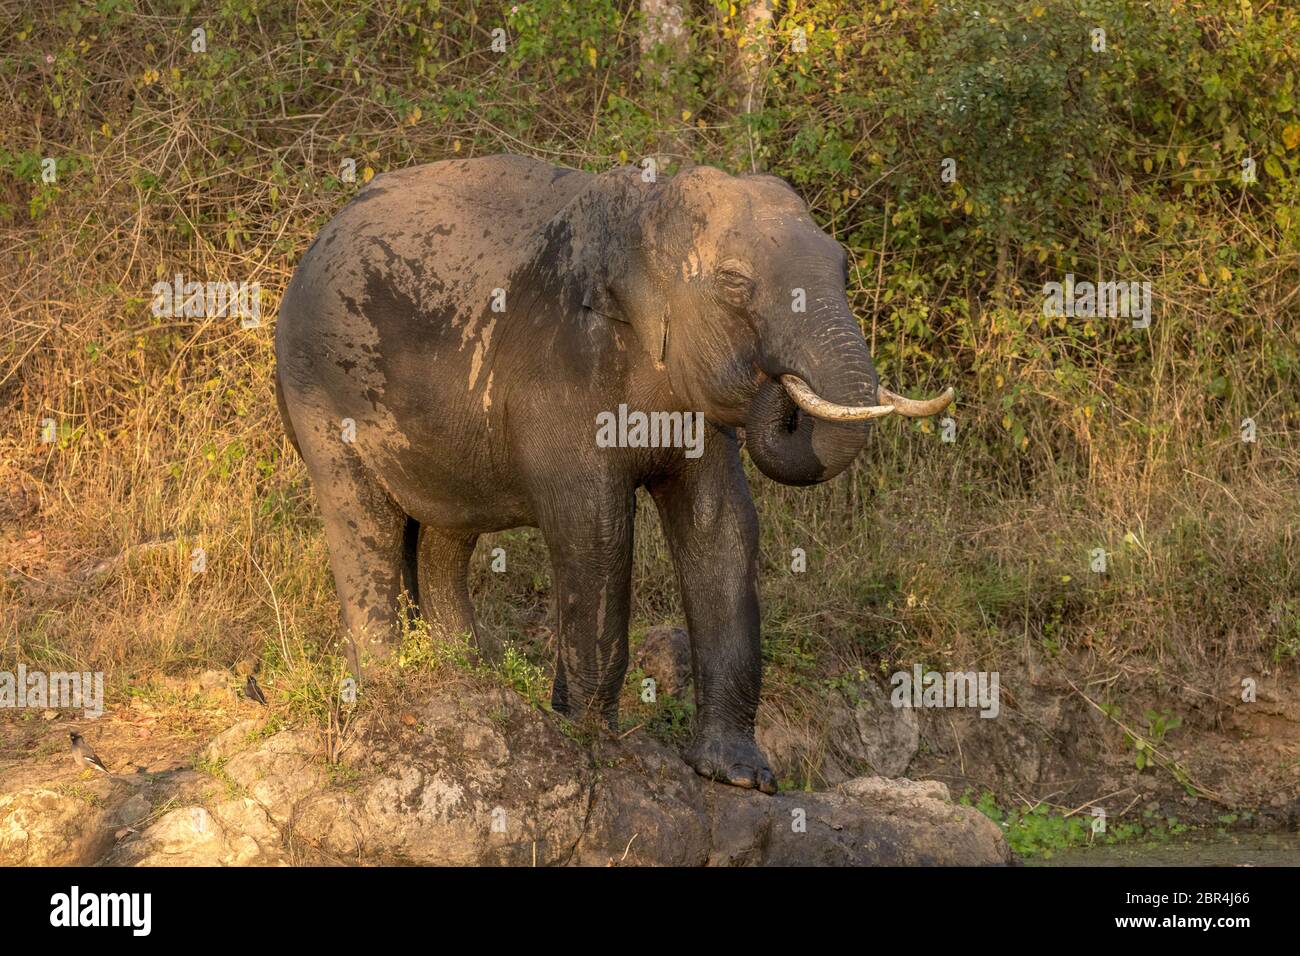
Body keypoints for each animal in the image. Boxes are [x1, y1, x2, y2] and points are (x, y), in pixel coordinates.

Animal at [274, 154, 951, 793]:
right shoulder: (563, 368)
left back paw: (465, 681)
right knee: (365, 521)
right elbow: (595, 528)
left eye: (843, 269)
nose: (775, 385)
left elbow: (722, 527)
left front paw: (738, 776)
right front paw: (591, 740)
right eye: (734, 282)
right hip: (318, 395)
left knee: (444, 535)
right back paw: (395, 688)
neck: (645, 211)